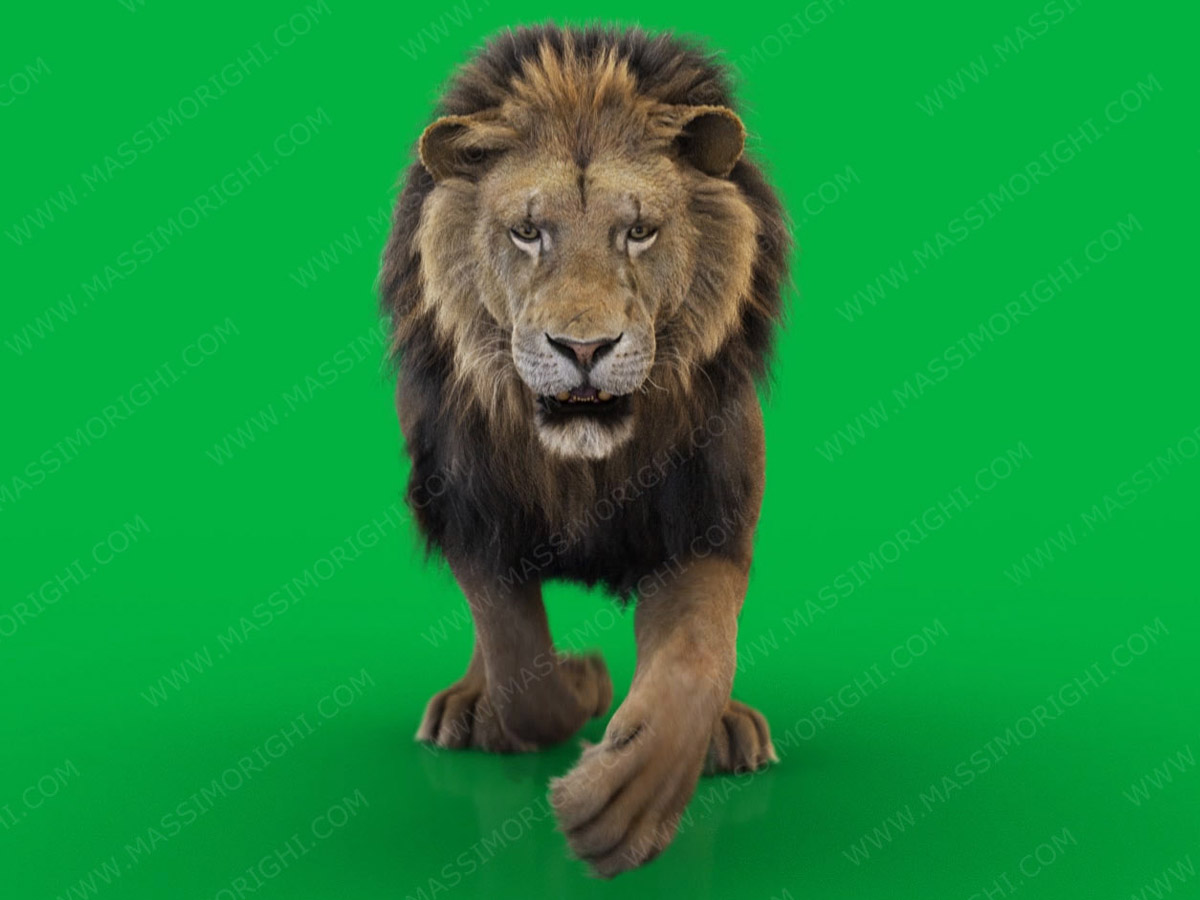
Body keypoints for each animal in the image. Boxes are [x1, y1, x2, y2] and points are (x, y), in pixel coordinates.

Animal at [379, 24, 790, 876]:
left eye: (639, 230)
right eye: (526, 232)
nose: (584, 348)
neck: (582, 462)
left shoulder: (702, 515)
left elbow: (697, 654)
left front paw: (626, 800)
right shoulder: (470, 506)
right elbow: (519, 666)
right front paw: (585, 682)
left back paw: (729, 731)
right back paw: (469, 709)